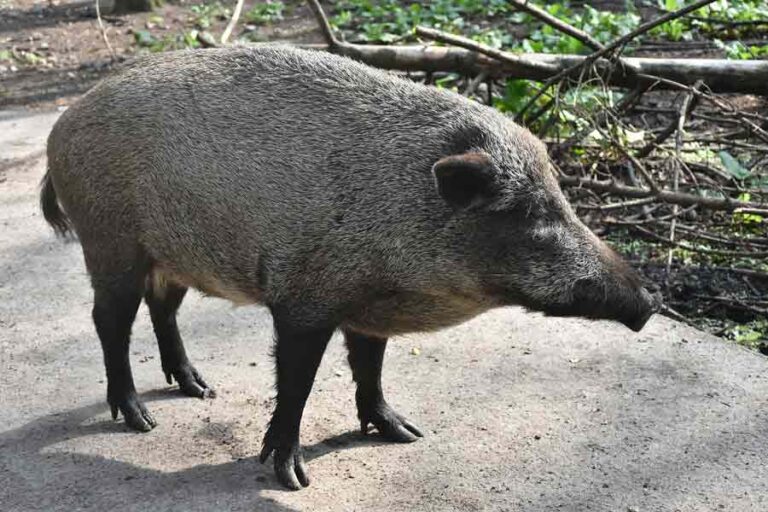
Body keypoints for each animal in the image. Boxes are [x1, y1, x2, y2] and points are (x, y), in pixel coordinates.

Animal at [41, 46, 658, 490]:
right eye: (529, 212)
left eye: (562, 200)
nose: (650, 299)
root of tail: (61, 127)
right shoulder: (303, 299)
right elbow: (297, 383)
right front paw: (292, 479)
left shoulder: (369, 308)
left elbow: (371, 368)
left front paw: (406, 434)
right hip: (110, 242)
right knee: (110, 320)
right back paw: (140, 419)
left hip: (174, 256)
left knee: (162, 308)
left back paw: (200, 390)